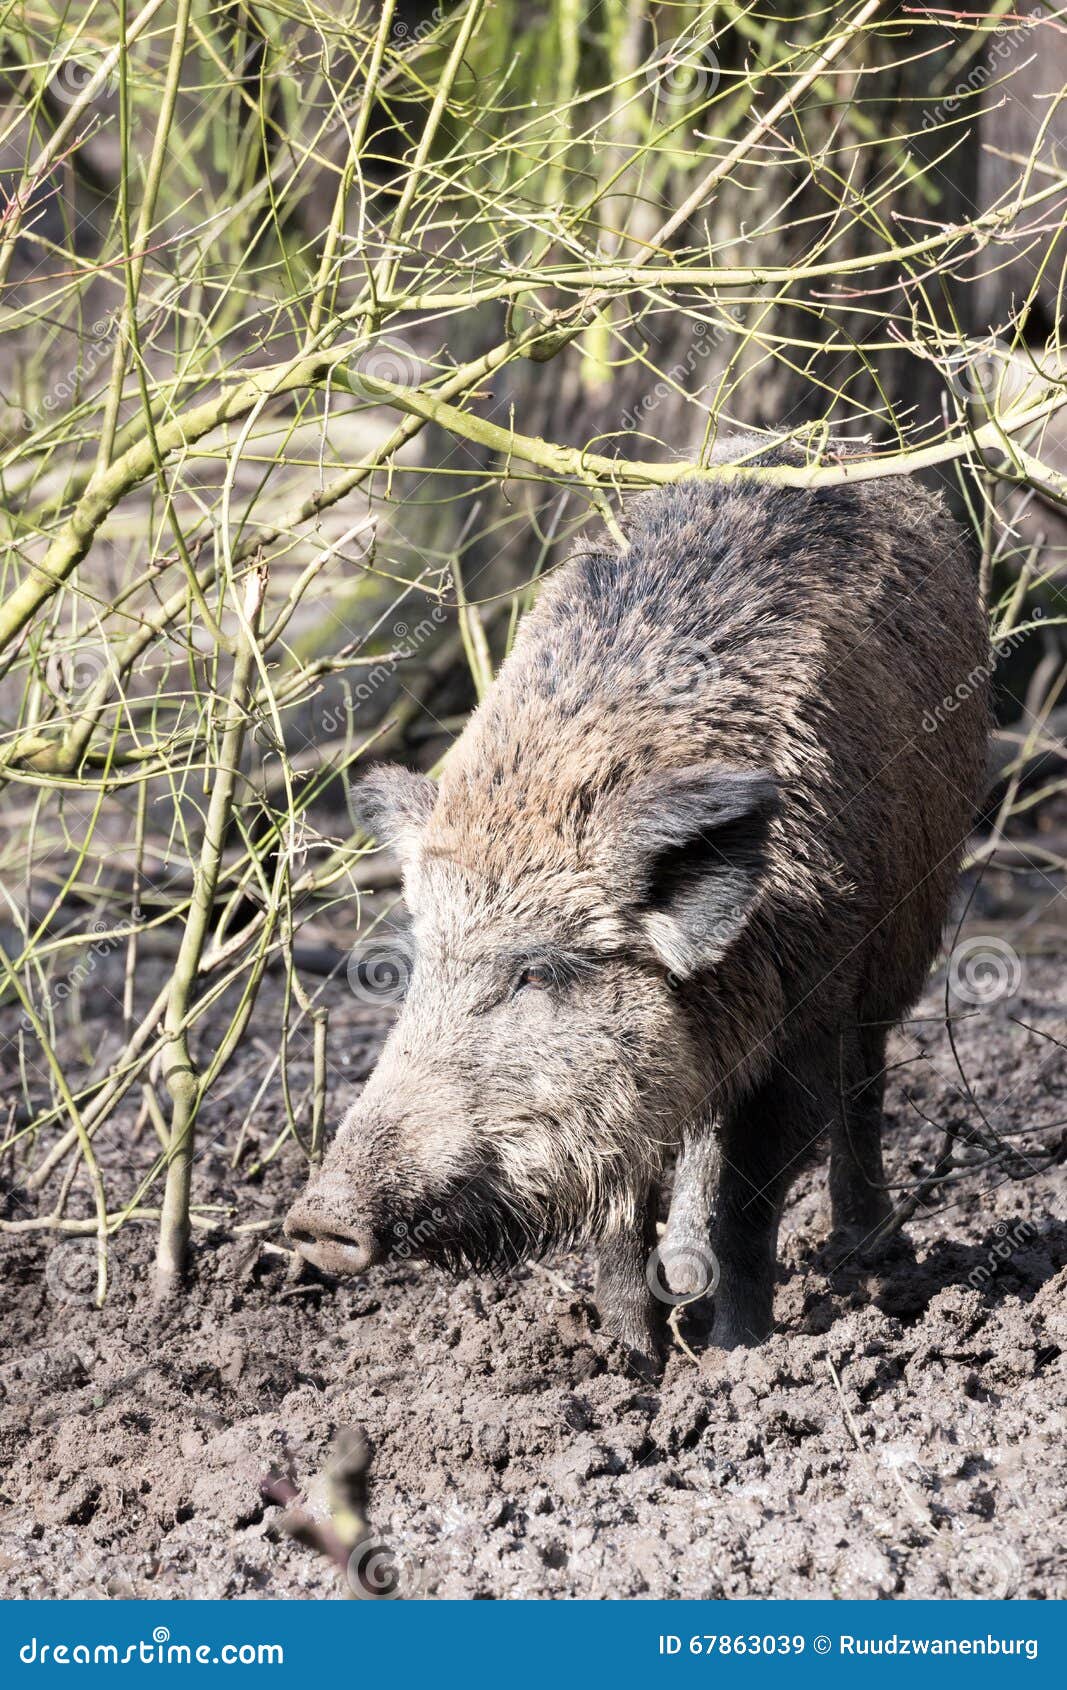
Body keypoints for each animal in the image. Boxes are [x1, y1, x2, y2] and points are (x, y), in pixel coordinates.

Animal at [286, 441, 989, 1370]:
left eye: (537, 974)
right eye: (419, 968)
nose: (315, 1220)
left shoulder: (804, 1012)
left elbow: (751, 1202)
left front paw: (736, 1357)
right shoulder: (618, 1098)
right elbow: (618, 1211)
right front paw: (629, 1361)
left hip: (908, 926)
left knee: (865, 1078)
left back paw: (869, 1251)